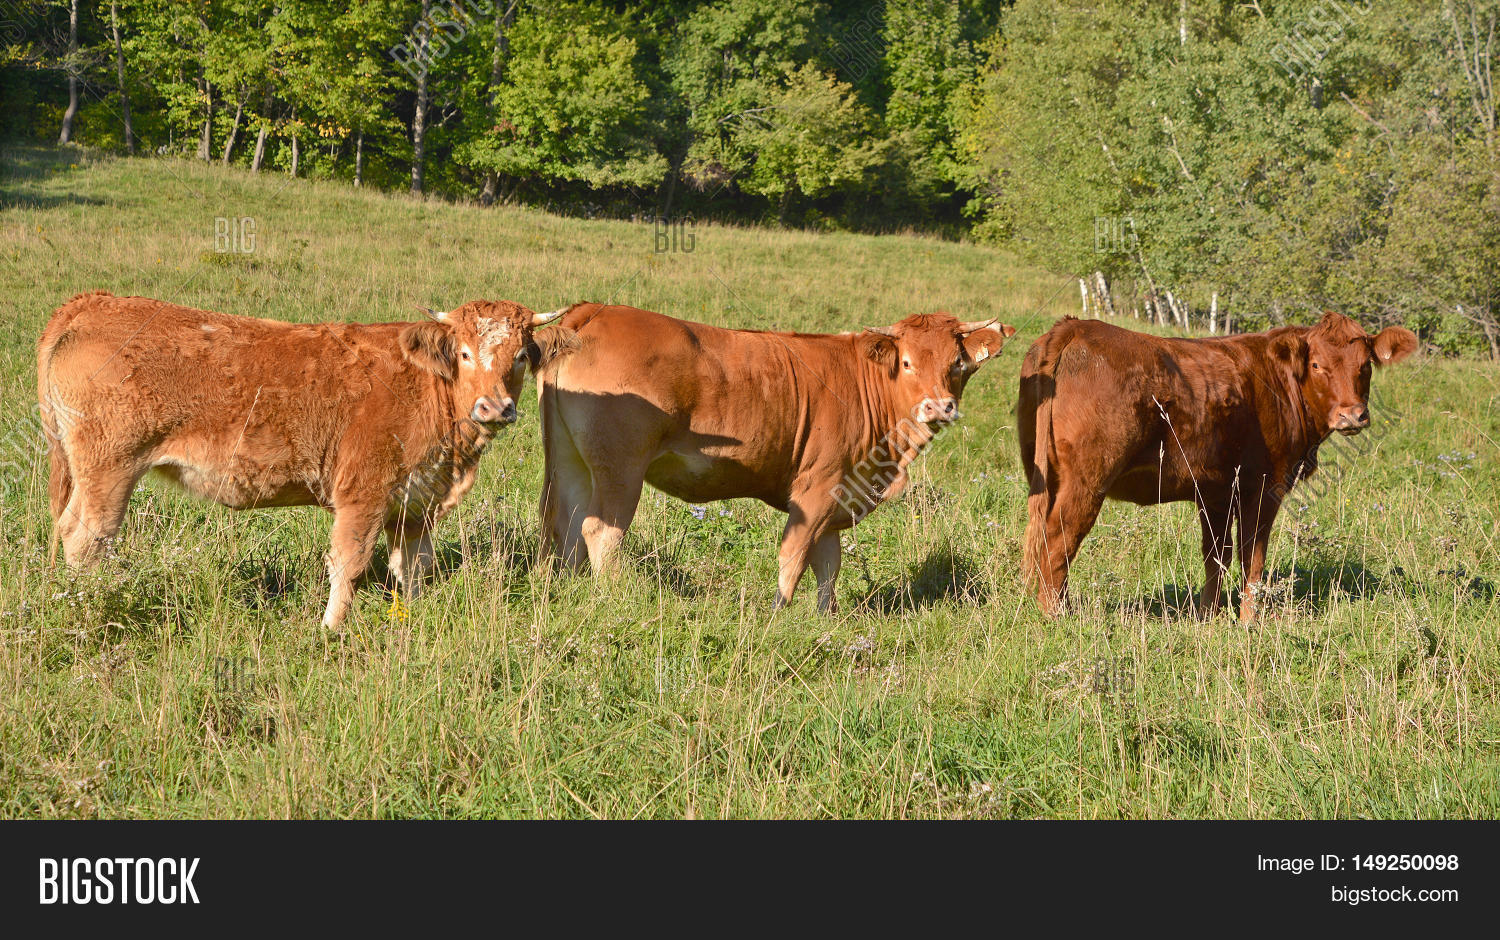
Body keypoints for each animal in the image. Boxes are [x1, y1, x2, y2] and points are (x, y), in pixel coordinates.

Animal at [37, 291, 569, 628]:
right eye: (463, 353)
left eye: (521, 356)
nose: (495, 407)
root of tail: (93, 302)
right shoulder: (362, 493)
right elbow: (349, 563)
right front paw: (331, 628)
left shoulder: (416, 502)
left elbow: (414, 567)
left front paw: (413, 616)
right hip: (110, 468)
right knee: (86, 538)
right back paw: (93, 607)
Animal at [535, 302, 1016, 612]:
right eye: (909, 362)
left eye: (957, 363)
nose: (939, 406)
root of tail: (598, 310)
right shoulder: (816, 489)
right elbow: (795, 555)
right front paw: (778, 613)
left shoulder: (839, 495)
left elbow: (828, 563)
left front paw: (827, 619)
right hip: (621, 468)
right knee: (600, 531)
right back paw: (617, 598)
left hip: (569, 461)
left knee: (565, 523)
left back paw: (568, 588)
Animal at [1018, 311, 1419, 621]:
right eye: (1318, 365)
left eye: (1365, 366)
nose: (1353, 415)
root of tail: (1074, 327)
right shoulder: (1264, 486)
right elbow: (1251, 557)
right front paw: (1248, 622)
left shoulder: (1215, 490)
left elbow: (1217, 556)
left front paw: (1208, 617)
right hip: (1087, 479)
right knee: (1058, 540)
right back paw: (1056, 616)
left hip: (1043, 475)